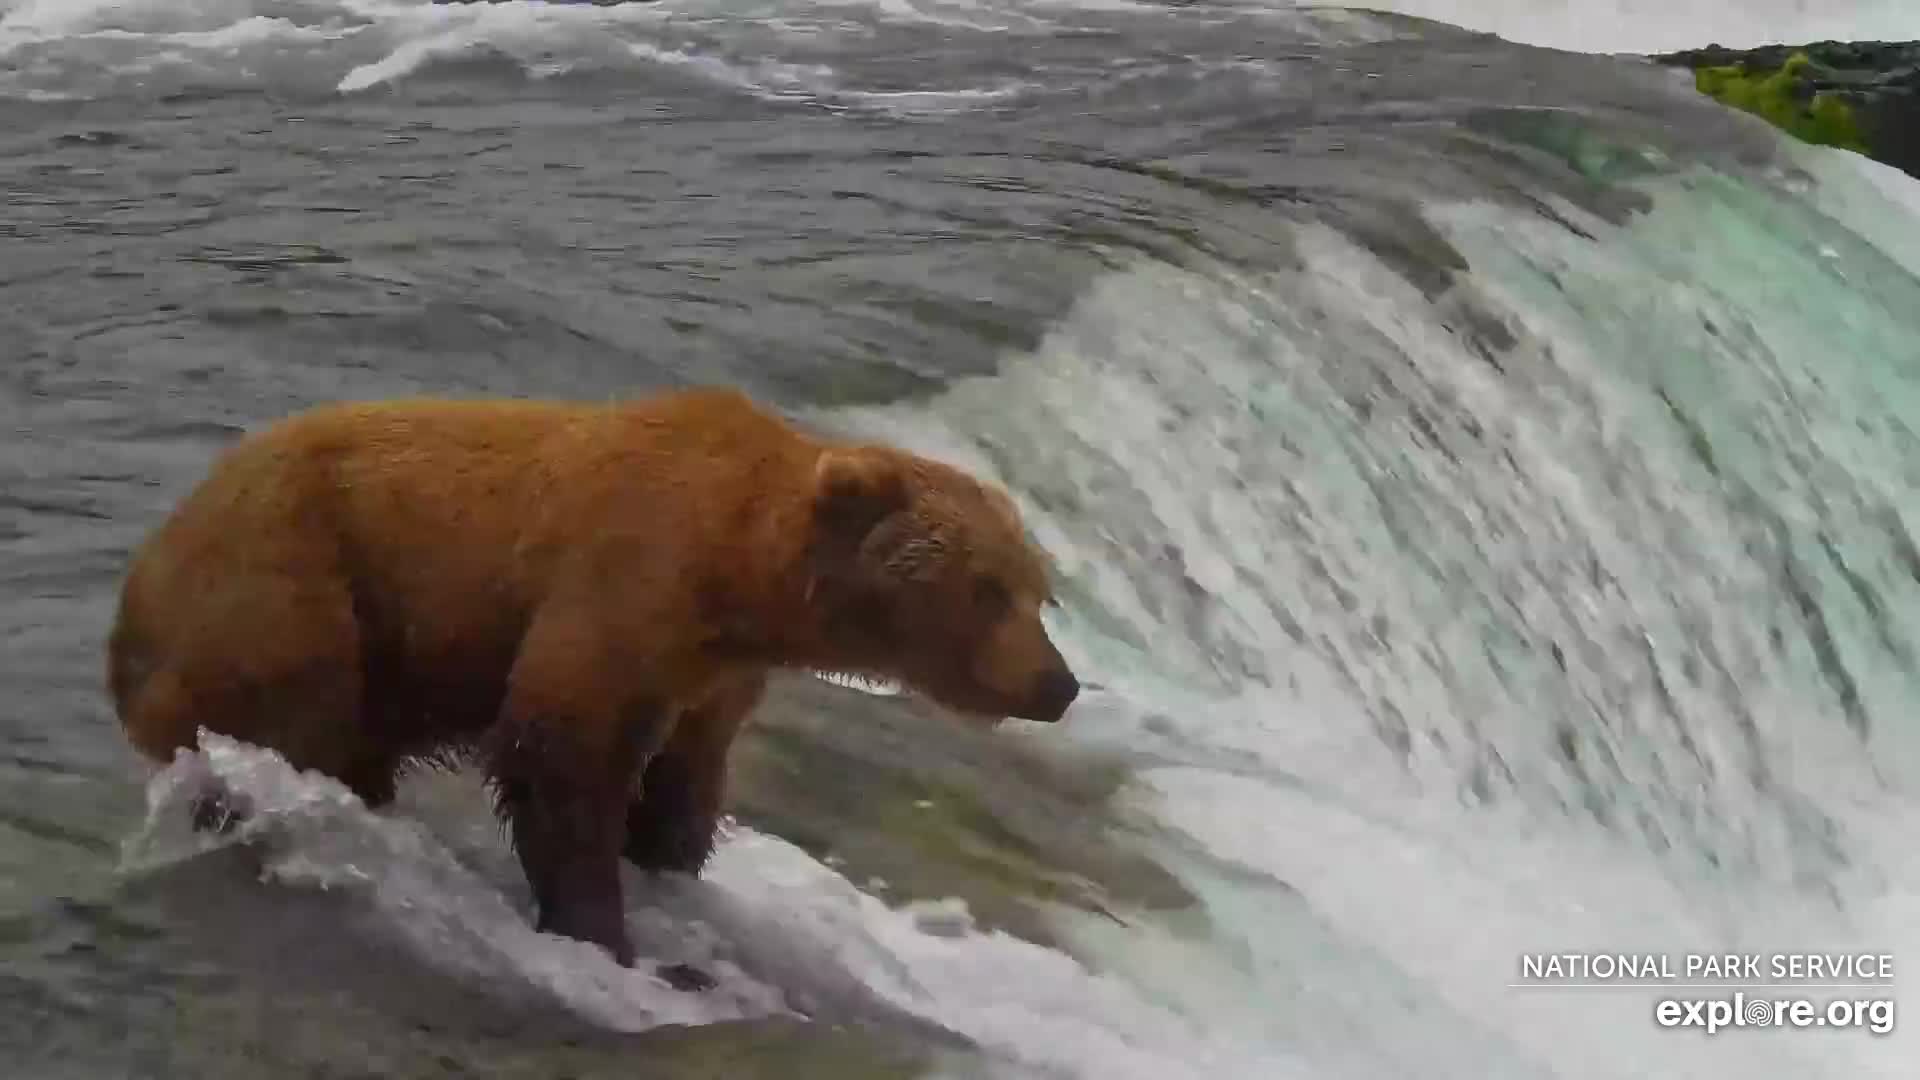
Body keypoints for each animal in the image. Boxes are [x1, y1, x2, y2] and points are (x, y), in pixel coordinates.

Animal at [105, 386, 1080, 969]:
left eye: (1039, 587)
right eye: (987, 587)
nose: (1058, 683)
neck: (737, 573)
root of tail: (142, 577)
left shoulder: (710, 677)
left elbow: (684, 777)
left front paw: (670, 856)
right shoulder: (621, 587)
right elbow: (562, 756)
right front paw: (598, 925)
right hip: (298, 587)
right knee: (296, 723)